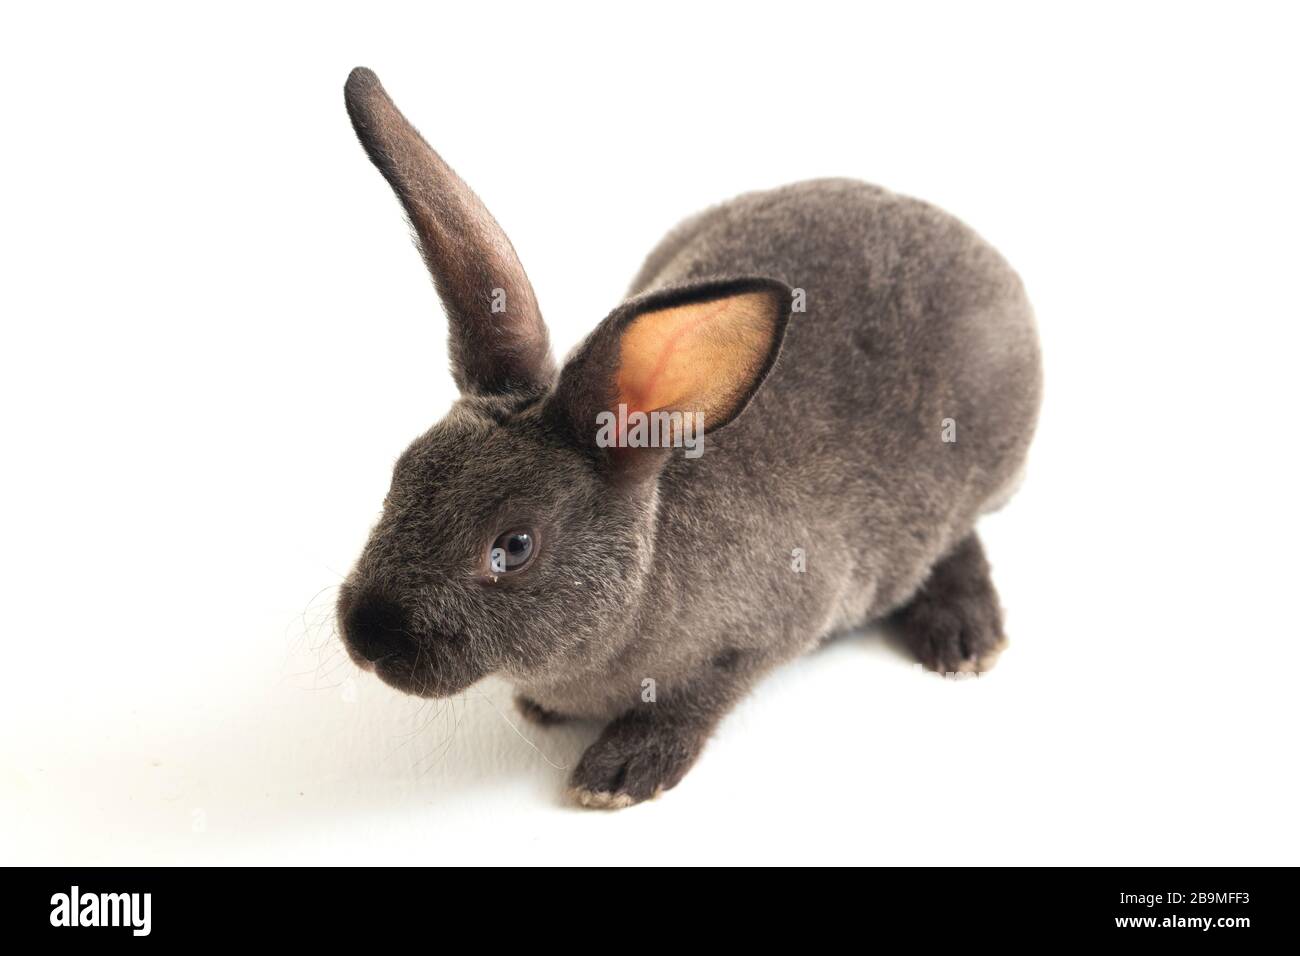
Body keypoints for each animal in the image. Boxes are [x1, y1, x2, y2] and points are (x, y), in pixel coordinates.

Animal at [335, 67, 1042, 809]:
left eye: (515, 546)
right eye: (400, 477)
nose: (367, 635)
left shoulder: (765, 632)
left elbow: (695, 697)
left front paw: (621, 772)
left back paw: (964, 639)